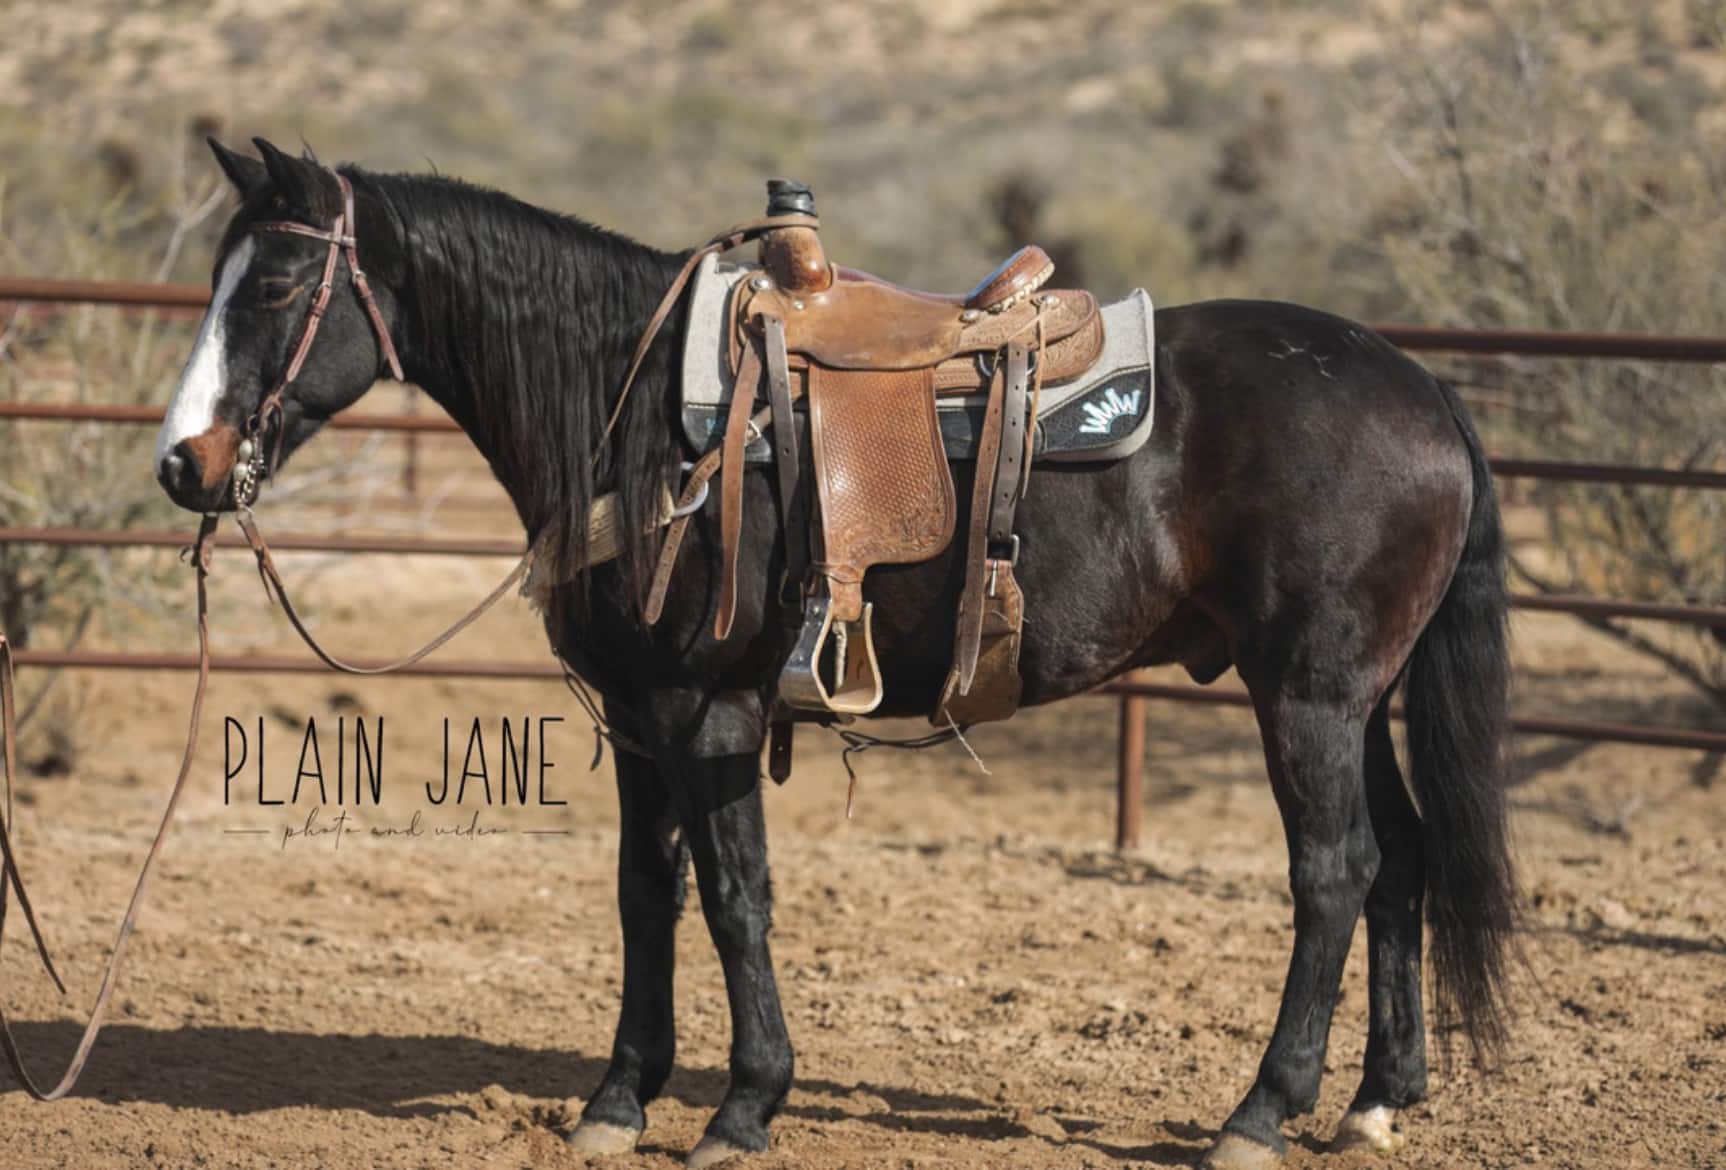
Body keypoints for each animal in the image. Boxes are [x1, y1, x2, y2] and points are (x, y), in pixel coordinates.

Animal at [153, 137, 1517, 1169]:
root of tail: (1424, 391)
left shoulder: (707, 711)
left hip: (1308, 696)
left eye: (274, 286)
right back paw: (1374, 1102)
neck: (636, 411)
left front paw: (744, 1105)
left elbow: (734, 894)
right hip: (1356, 698)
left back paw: (1260, 1112)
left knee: (1335, 871)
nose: (183, 463)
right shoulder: (636, 715)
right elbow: (644, 893)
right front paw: (617, 1101)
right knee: (1401, 861)